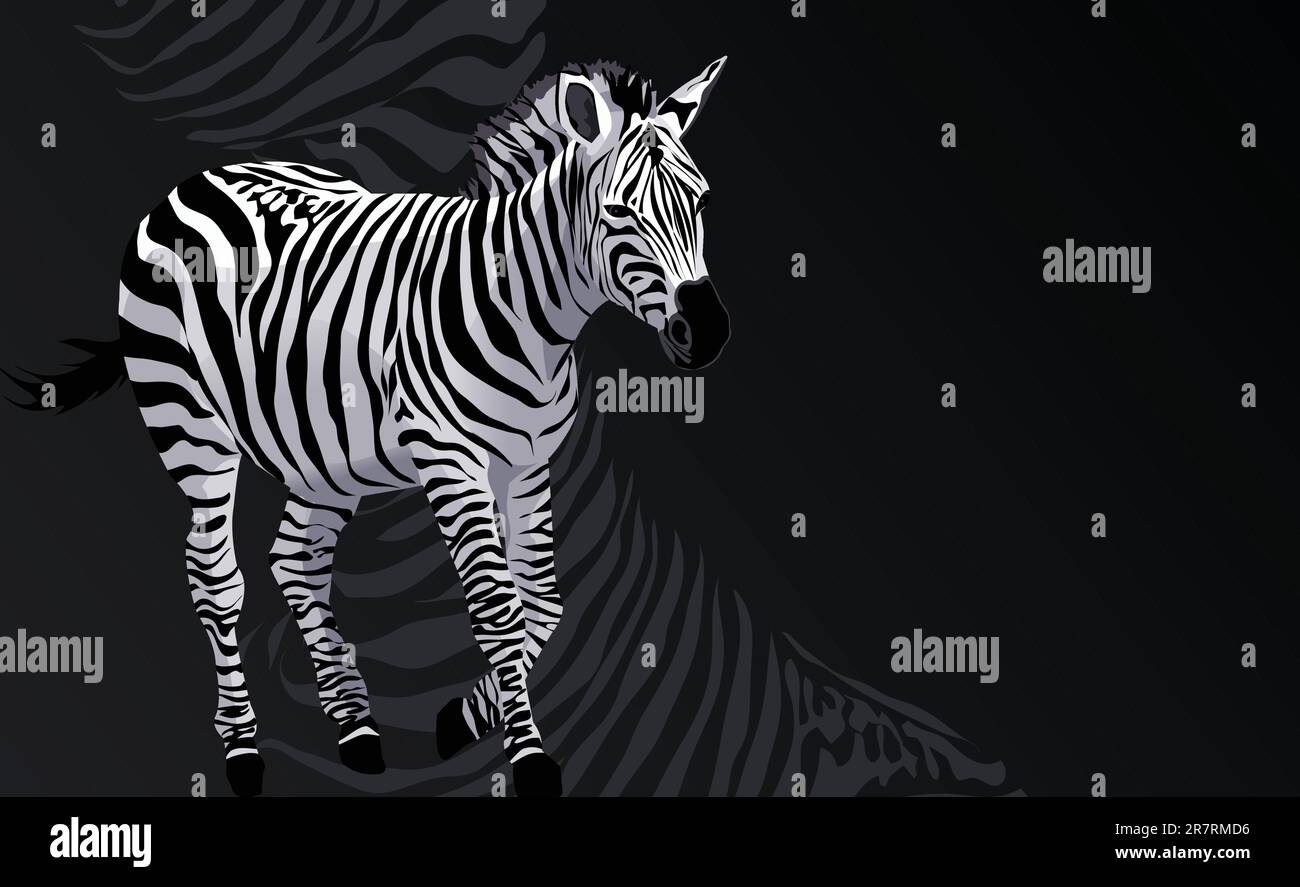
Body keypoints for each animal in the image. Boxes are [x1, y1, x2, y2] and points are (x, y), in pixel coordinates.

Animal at [7, 58, 729, 797]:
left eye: (700, 203)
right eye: (620, 214)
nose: (707, 333)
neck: (525, 311)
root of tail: (192, 182)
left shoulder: (527, 462)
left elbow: (543, 602)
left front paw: (464, 719)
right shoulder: (450, 461)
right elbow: (497, 607)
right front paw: (527, 756)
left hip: (320, 448)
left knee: (294, 559)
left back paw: (355, 727)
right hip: (190, 423)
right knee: (215, 578)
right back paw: (242, 747)